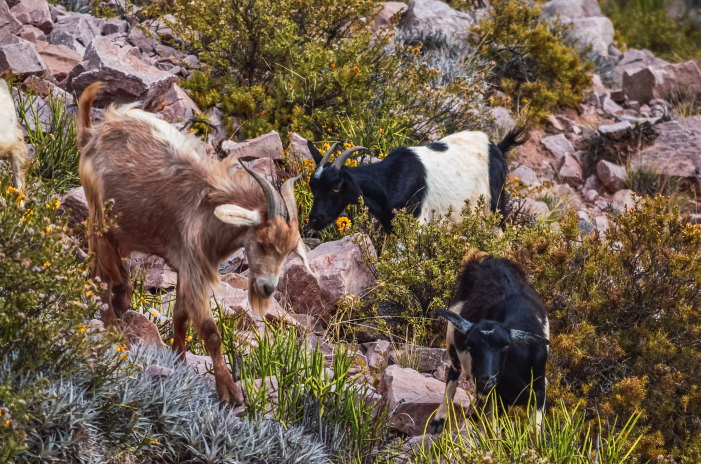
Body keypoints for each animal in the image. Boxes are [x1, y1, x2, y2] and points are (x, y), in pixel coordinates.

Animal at [77, 82, 310, 405]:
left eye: (289, 251)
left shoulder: (184, 269)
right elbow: (210, 331)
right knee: (102, 272)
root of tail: (93, 132)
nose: (267, 288)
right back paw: (114, 324)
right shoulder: (195, 268)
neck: (208, 210)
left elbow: (181, 317)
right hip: (100, 217)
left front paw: (179, 360)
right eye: (262, 242)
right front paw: (230, 392)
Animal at [306, 128, 528, 231]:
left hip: (492, 208)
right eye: (313, 188)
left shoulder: (418, 223)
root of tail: (497, 148)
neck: (391, 179)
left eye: (336, 187)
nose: (315, 220)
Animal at [429, 249, 549, 433]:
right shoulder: (496, 393)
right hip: (452, 342)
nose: (487, 379)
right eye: (470, 346)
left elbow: (533, 428)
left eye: (506, 346)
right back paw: (440, 418)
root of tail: (482, 262)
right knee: (453, 375)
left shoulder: (539, 384)